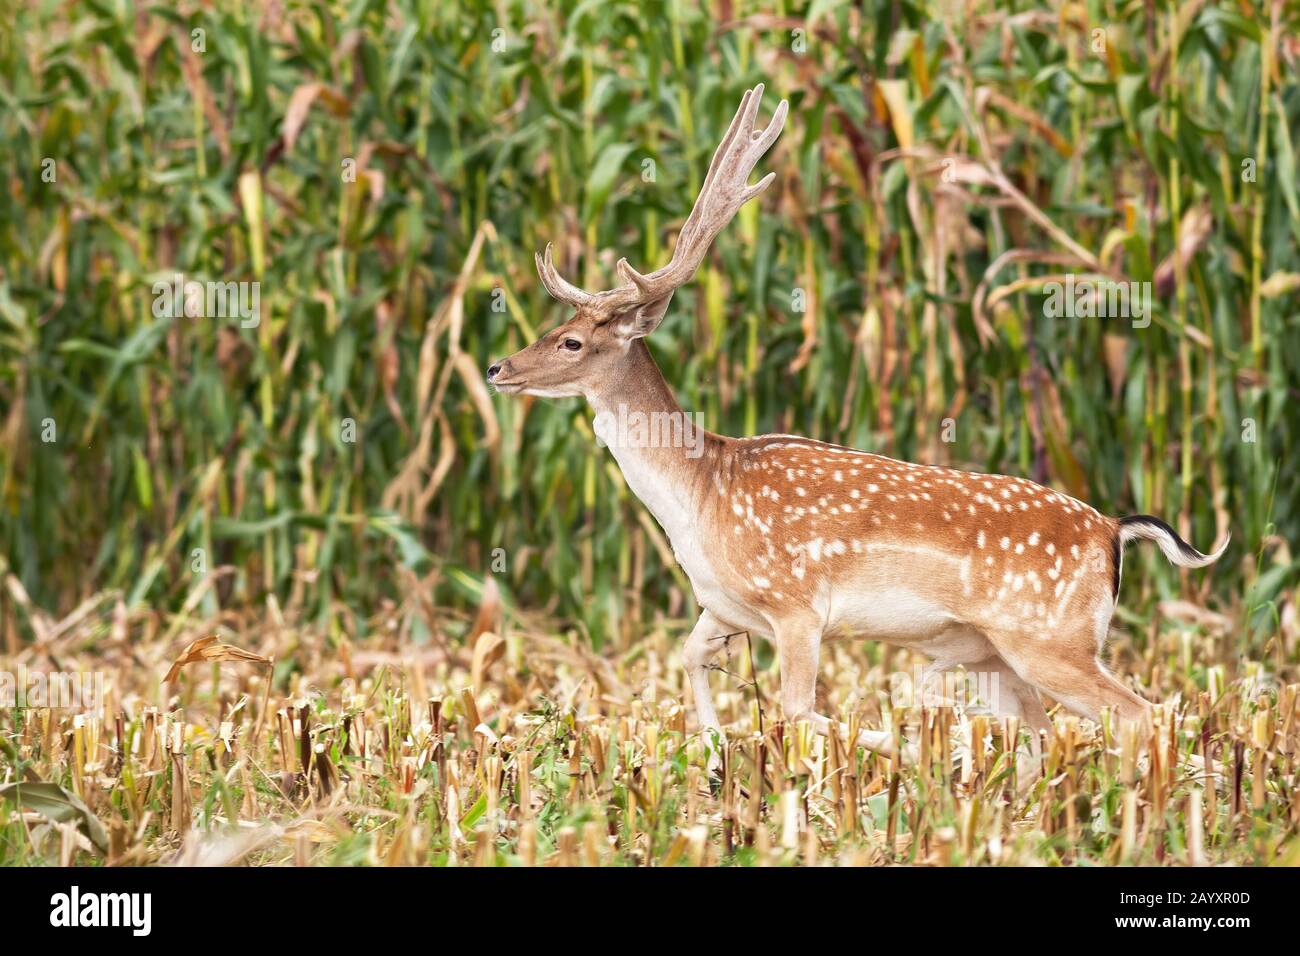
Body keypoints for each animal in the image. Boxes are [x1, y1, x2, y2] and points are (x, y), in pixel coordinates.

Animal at [486, 85, 1229, 779]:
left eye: (573, 341)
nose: (497, 366)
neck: (700, 495)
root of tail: (1113, 532)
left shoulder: (795, 602)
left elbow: (798, 710)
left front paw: (903, 746)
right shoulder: (723, 606)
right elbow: (688, 659)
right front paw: (716, 749)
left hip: (1051, 638)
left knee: (1139, 713)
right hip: (998, 653)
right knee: (1044, 737)